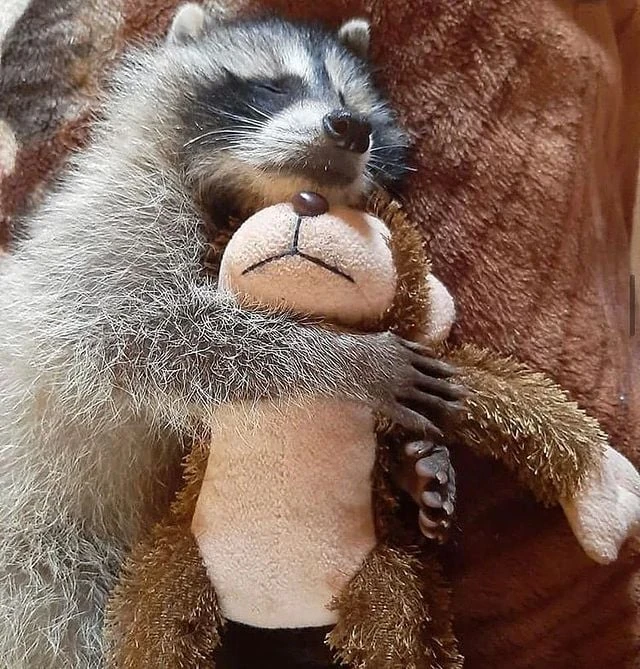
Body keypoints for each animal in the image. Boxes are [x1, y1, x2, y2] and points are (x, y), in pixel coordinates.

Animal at [0, 5, 460, 667]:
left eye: (356, 107)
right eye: (273, 86)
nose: (349, 128)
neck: (235, 199)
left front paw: (408, 466)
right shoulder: (108, 227)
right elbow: (139, 332)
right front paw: (344, 362)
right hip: (42, 574)